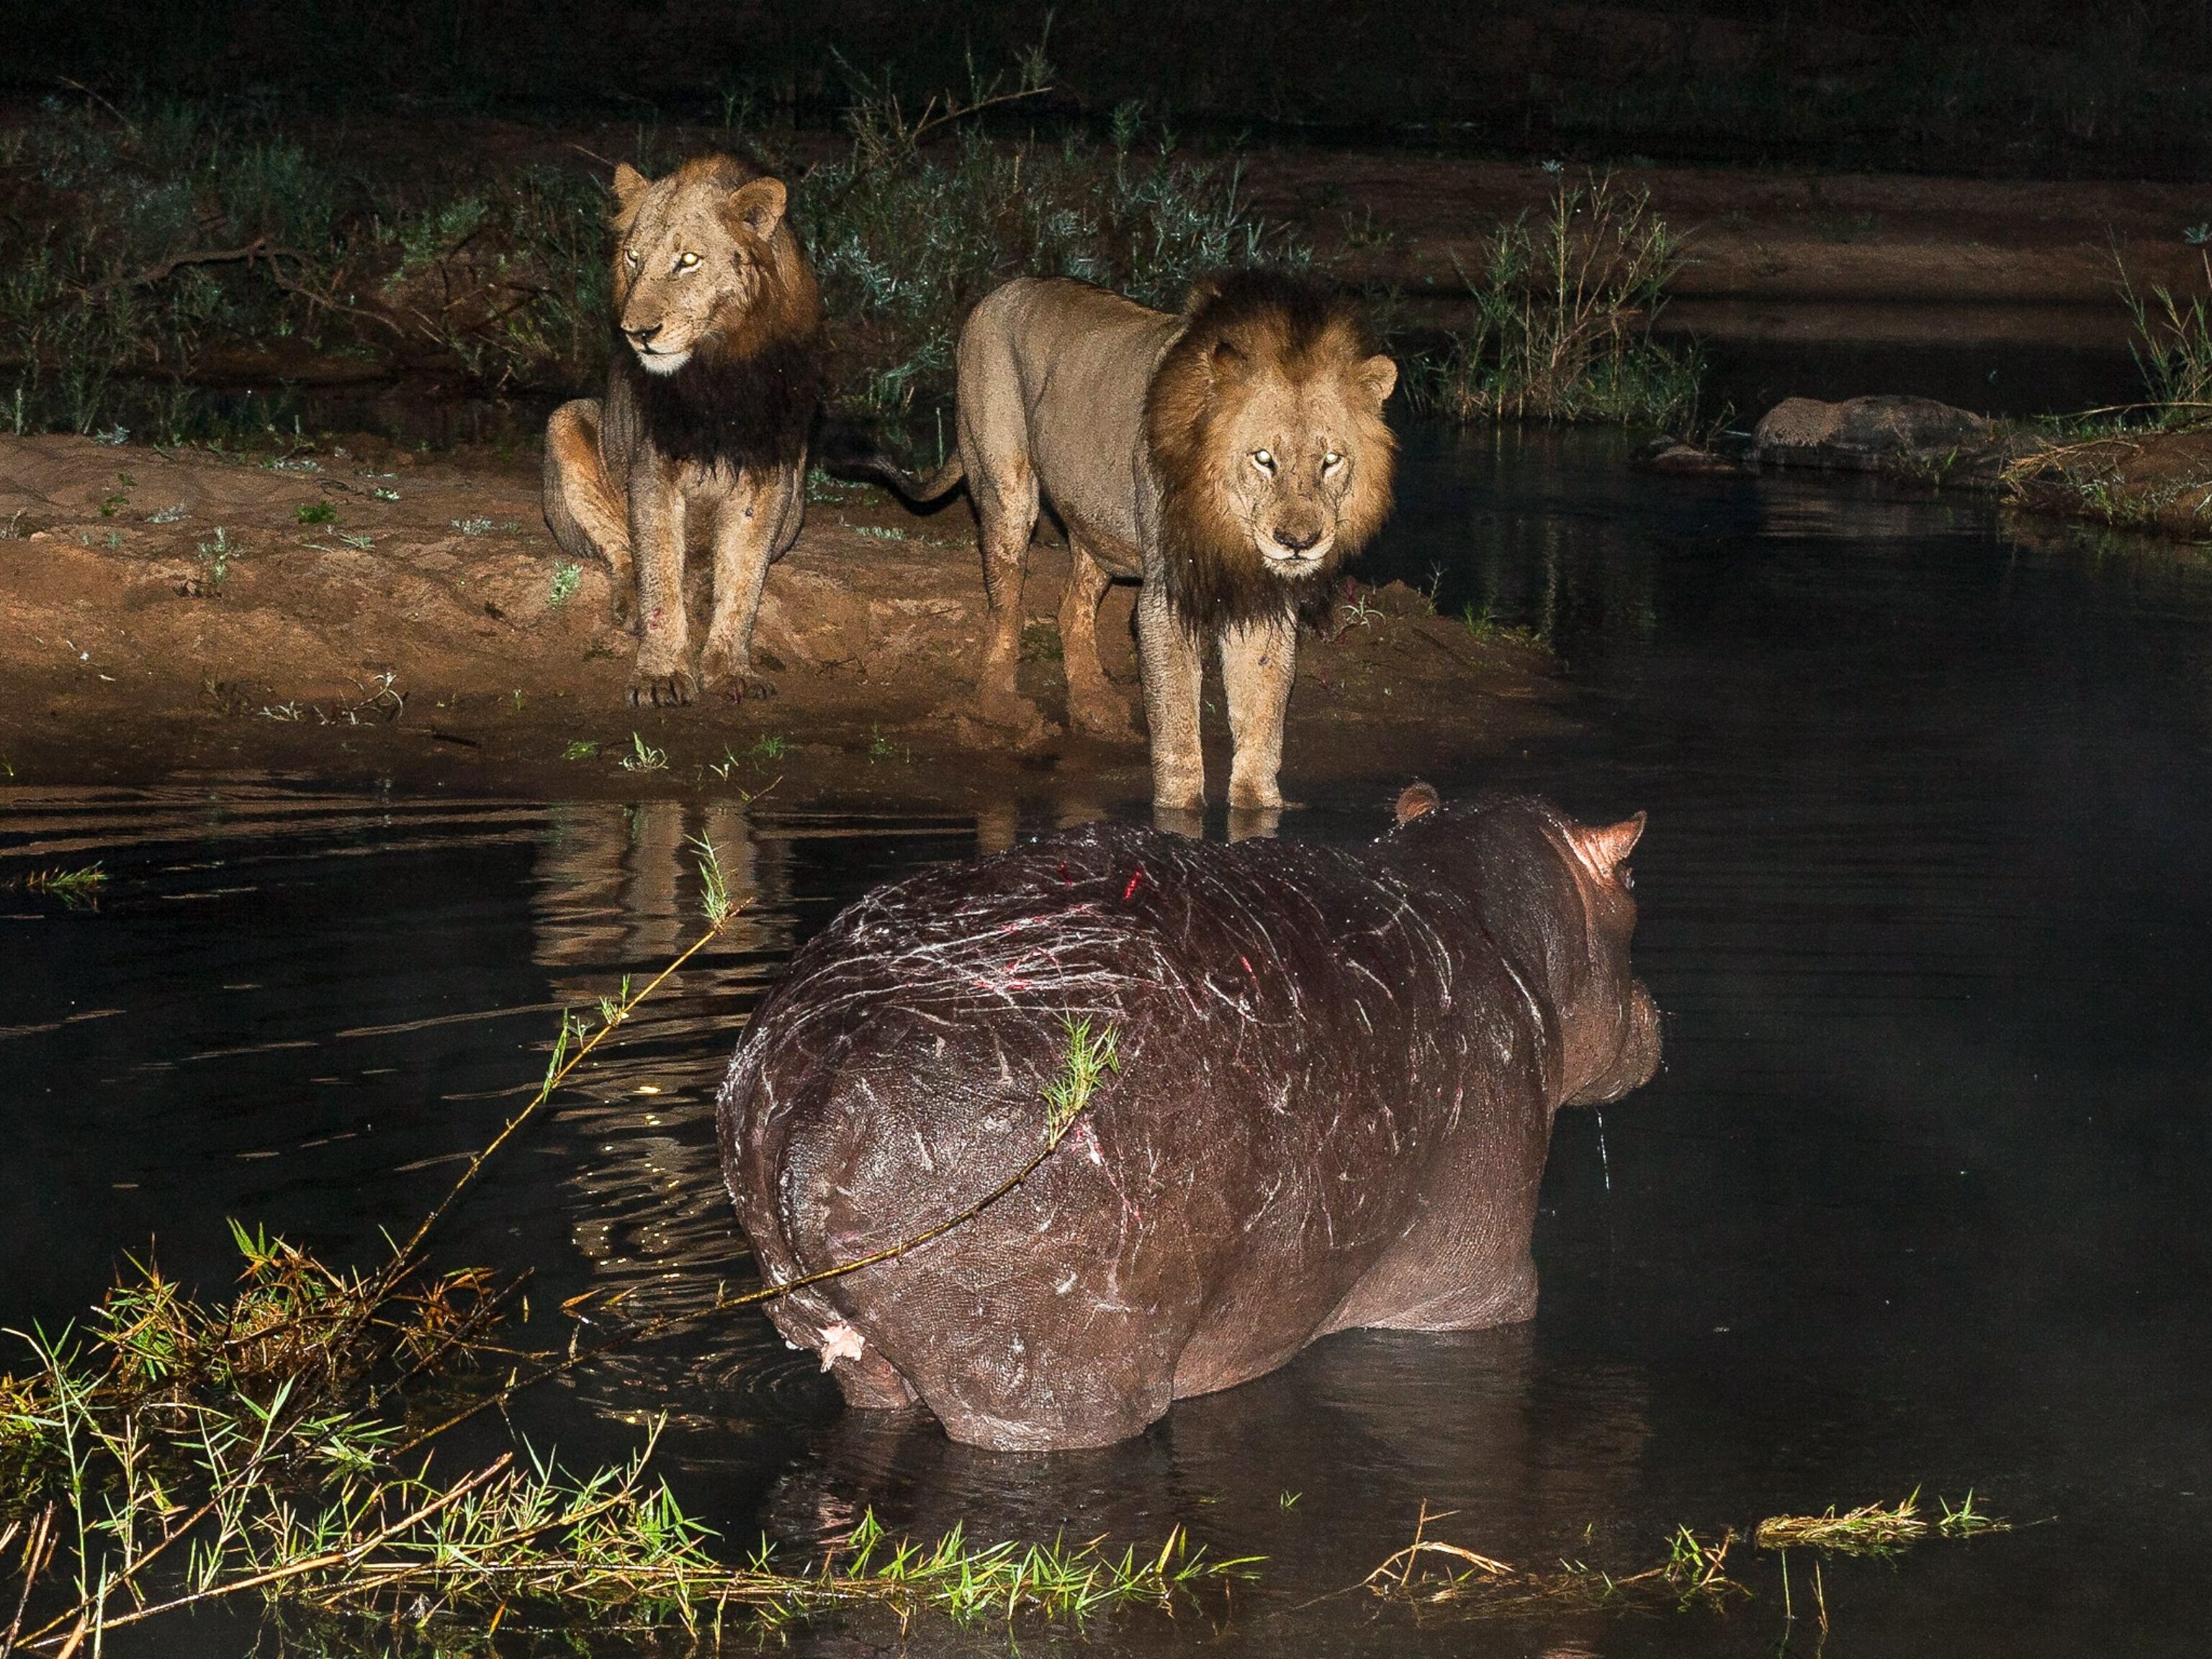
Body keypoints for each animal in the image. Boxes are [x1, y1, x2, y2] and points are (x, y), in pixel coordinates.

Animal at [543, 154, 823, 706]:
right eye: (633, 258)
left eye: (689, 261)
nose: (638, 334)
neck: (717, 366)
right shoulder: (653, 466)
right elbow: (659, 577)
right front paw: (660, 674)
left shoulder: (768, 471)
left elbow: (743, 579)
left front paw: (732, 669)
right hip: (566, 419)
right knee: (623, 553)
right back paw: (631, 602)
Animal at [716, 786, 1660, 1452]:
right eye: (1632, 890)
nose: (1655, 1012)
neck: (1491, 919)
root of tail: (806, 1098)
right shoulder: (1474, 1286)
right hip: (1046, 1387)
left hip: (852, 1351)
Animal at [864, 270, 1396, 812]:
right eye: (1263, 458)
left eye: (1331, 460)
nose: (1297, 542)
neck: (1229, 526)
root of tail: (1001, 290)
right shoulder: (1164, 598)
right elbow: (1177, 723)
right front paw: (1179, 810)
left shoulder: (1262, 599)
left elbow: (1262, 716)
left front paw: (1258, 807)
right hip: (1004, 486)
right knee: (1006, 603)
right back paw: (998, 706)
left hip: (1097, 524)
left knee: (1071, 606)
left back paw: (1094, 706)